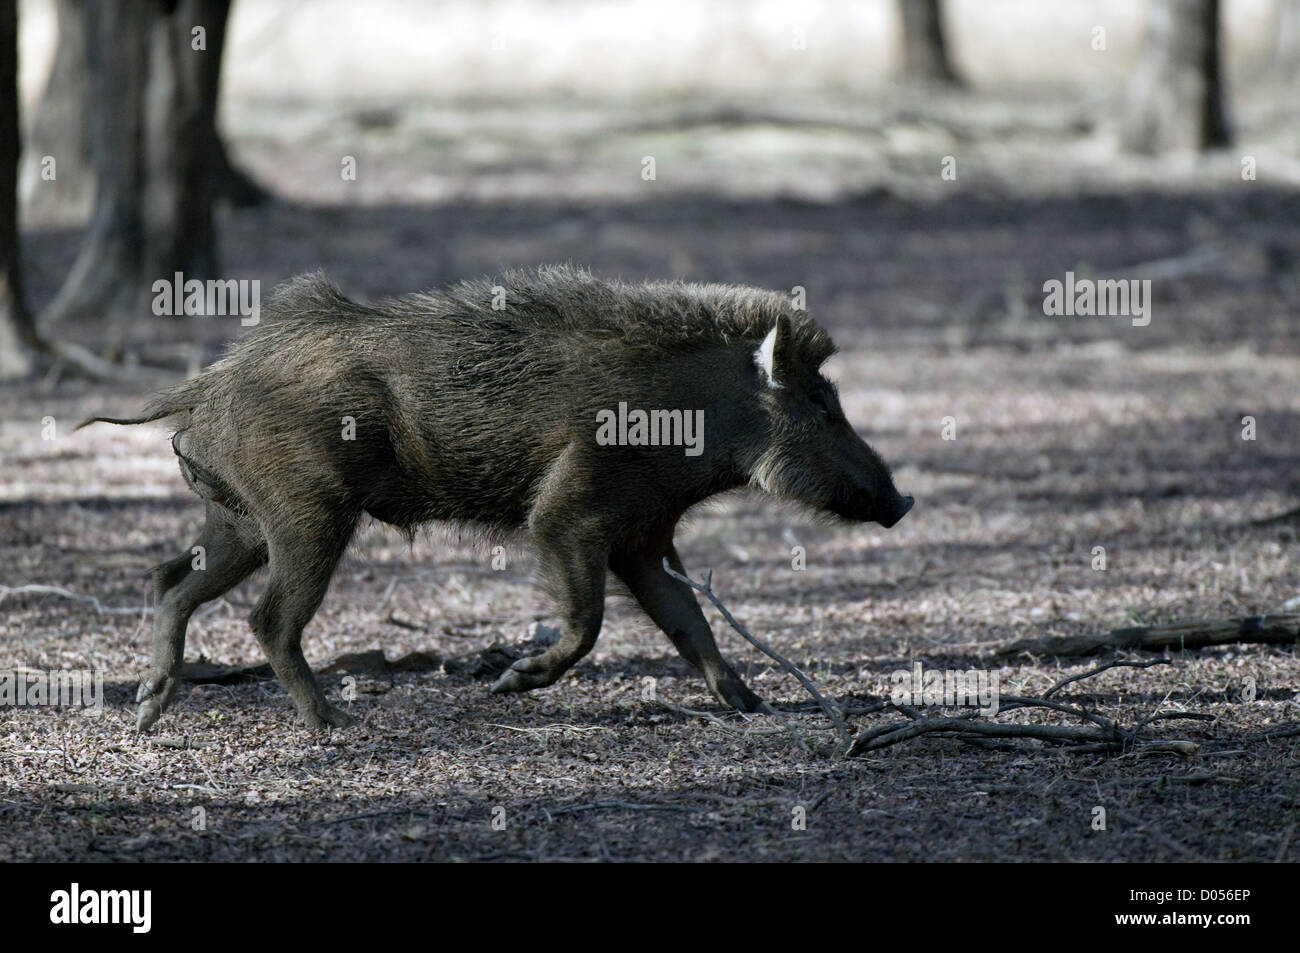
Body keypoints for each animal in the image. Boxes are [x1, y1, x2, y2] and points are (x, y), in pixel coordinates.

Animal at [80, 266, 913, 732]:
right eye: (820, 401)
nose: (901, 500)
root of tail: (205, 385)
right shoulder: (568, 514)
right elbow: (588, 623)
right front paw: (512, 681)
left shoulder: (646, 536)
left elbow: (689, 623)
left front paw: (750, 705)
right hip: (307, 514)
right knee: (267, 618)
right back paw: (334, 724)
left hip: (241, 519)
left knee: (170, 581)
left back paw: (147, 710)